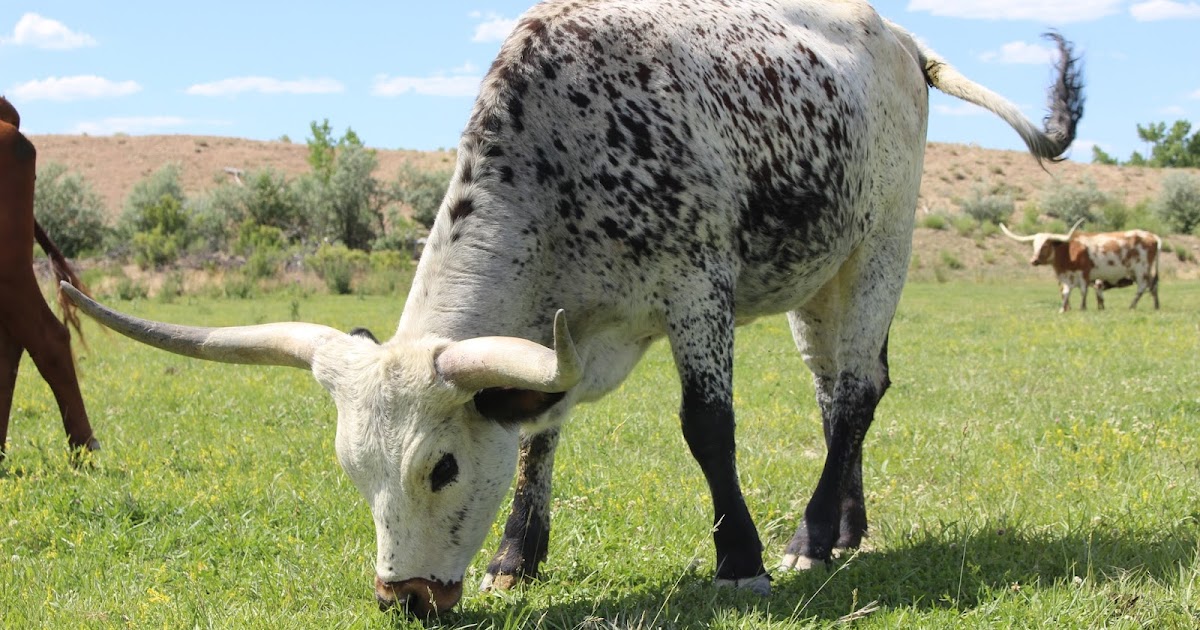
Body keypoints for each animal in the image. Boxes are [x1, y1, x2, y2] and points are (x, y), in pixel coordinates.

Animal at [61, 0, 1083, 616]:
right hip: (817, 276)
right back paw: (843, 530)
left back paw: (805, 539)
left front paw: (742, 561)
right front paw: (517, 557)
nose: (405, 600)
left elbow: (707, 427)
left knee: (855, 393)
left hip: (882, 245)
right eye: (354, 471)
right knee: (842, 390)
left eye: (438, 468)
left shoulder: (696, 290)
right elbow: (538, 434)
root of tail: (901, 39)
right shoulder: (561, 332)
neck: (562, 156)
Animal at [1000, 222, 1160, 312]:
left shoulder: (1084, 274)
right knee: (1153, 286)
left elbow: (1083, 292)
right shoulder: (1066, 277)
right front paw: (1062, 309)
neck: (1069, 252)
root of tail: (1152, 236)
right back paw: (1156, 307)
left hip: (1141, 269)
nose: (1033, 260)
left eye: (1045, 245)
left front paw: (1083, 308)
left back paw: (1132, 306)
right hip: (1138, 271)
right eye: (1034, 245)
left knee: (1142, 287)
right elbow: (1066, 293)